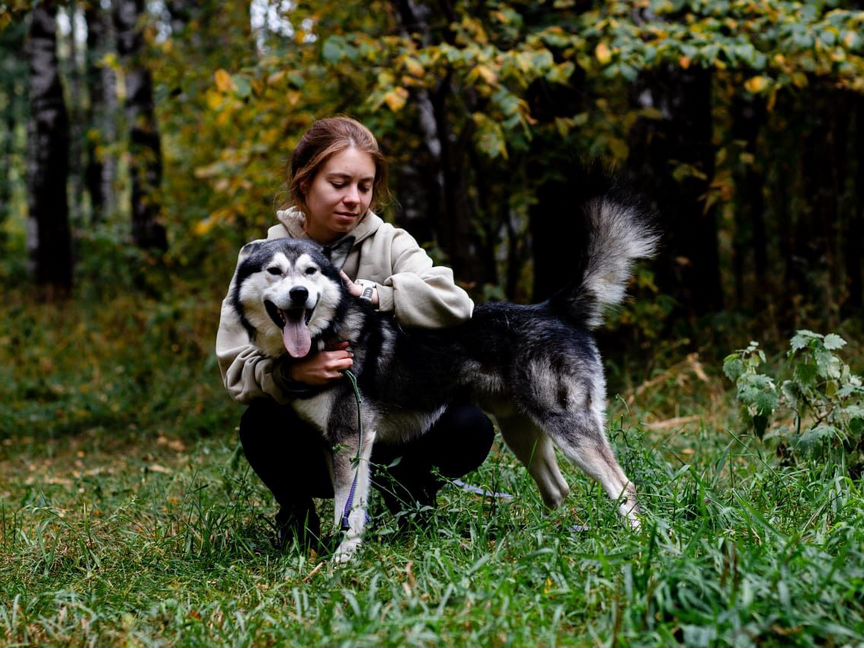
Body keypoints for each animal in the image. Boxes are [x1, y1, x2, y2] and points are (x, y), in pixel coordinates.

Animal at [230, 192, 656, 560]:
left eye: (311, 271)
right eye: (275, 271)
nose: (300, 294)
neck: (328, 334)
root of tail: (553, 308)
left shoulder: (352, 440)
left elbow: (349, 512)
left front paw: (343, 559)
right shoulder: (335, 443)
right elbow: (346, 505)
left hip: (566, 428)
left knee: (623, 486)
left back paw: (635, 540)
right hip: (523, 435)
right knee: (559, 490)